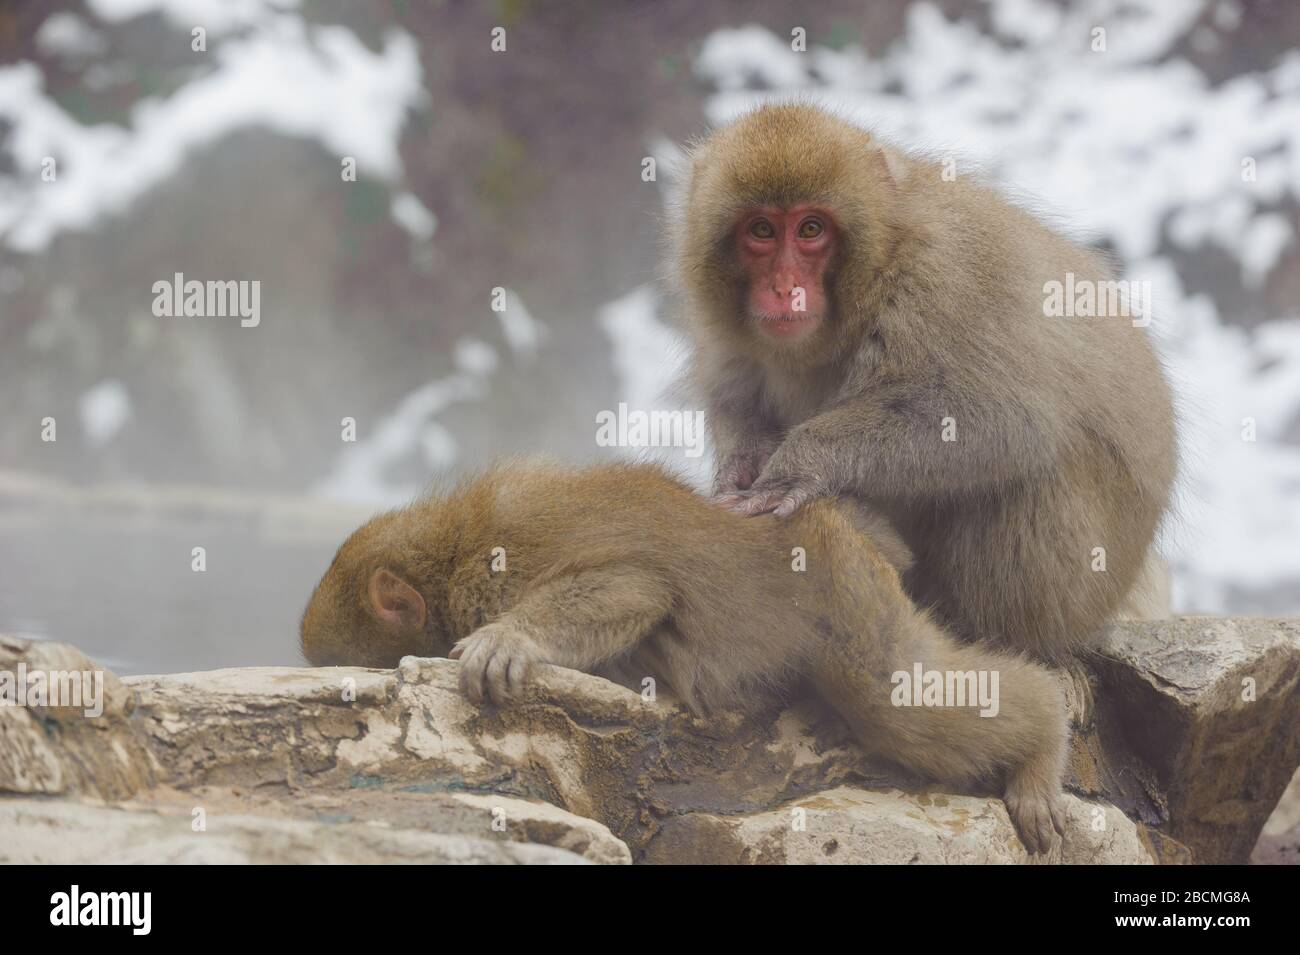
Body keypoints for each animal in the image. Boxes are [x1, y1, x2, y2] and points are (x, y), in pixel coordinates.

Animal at [301, 459, 1068, 853]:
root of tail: (826, 524)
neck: (450, 547)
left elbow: (634, 588)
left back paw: (1045, 736)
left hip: (845, 594)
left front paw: (510, 639)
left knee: (895, 699)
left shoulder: (497, 569)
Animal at [674, 103, 1177, 704]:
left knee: (1034, 471)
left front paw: (800, 464)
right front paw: (743, 466)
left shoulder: (944, 279)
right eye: (762, 230)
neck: (882, 263)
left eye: (812, 229)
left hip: (1084, 584)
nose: (784, 287)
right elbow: (737, 403)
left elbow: (1003, 419)